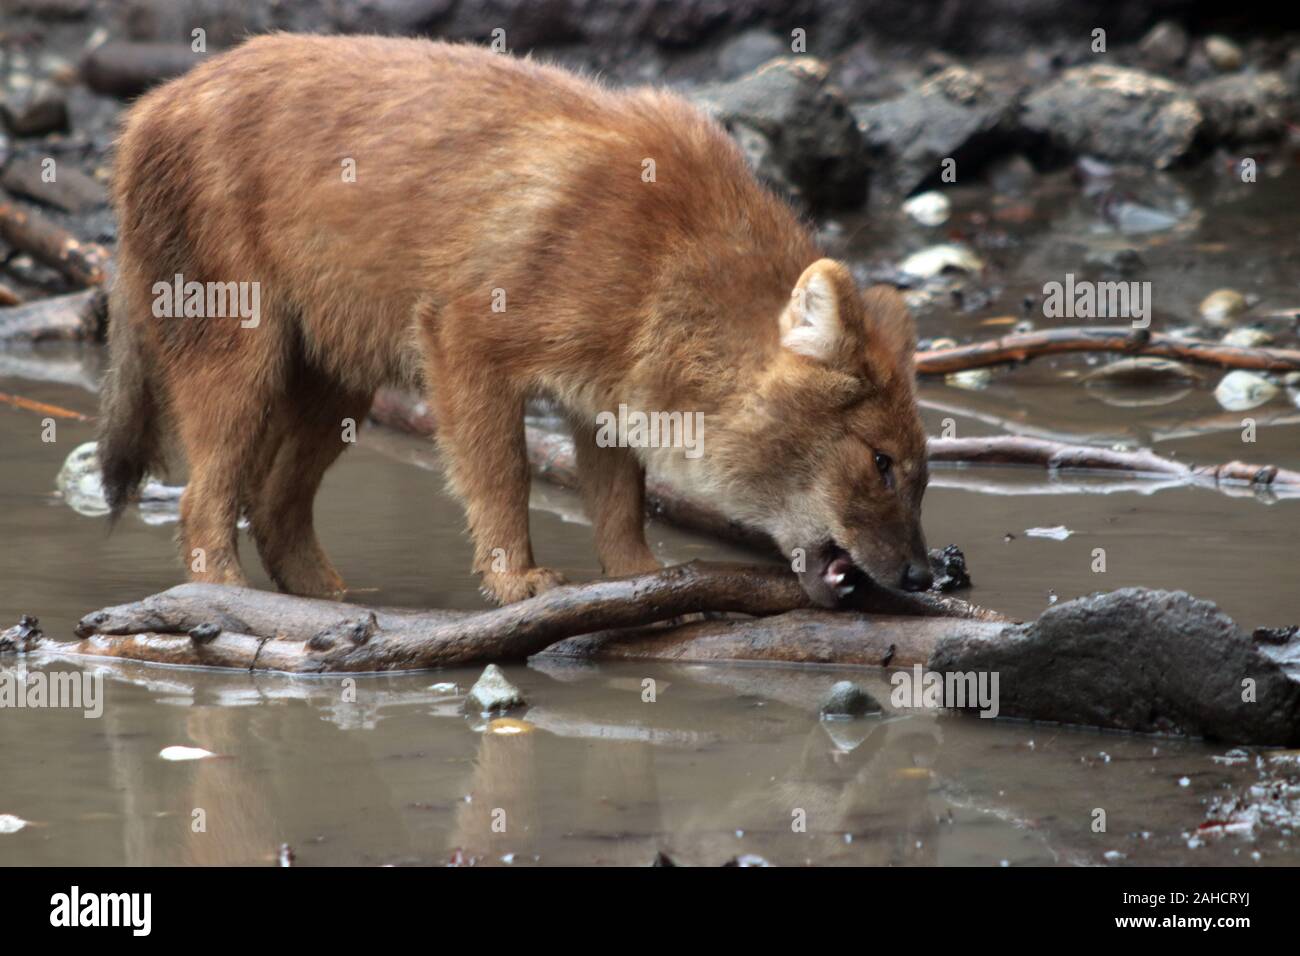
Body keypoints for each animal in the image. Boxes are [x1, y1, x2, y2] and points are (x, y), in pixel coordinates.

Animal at [99, 33, 933, 609]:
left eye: (920, 472)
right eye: (881, 463)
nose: (926, 574)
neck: (676, 262)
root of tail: (149, 107)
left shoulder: (606, 390)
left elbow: (619, 499)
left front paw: (640, 580)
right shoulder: (466, 339)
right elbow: (503, 477)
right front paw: (518, 583)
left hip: (339, 378)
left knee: (273, 506)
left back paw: (329, 605)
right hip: (244, 355)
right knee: (204, 501)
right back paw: (226, 600)